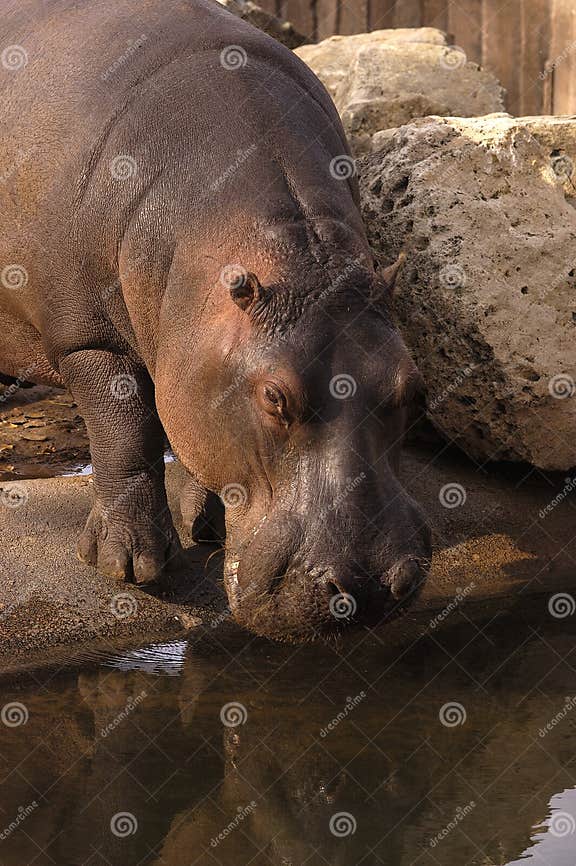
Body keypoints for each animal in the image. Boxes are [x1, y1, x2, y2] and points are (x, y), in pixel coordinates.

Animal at [0, 0, 431, 641]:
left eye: (414, 388)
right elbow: (125, 429)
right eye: (275, 397)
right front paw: (129, 567)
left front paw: (202, 522)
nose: (370, 588)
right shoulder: (87, 339)